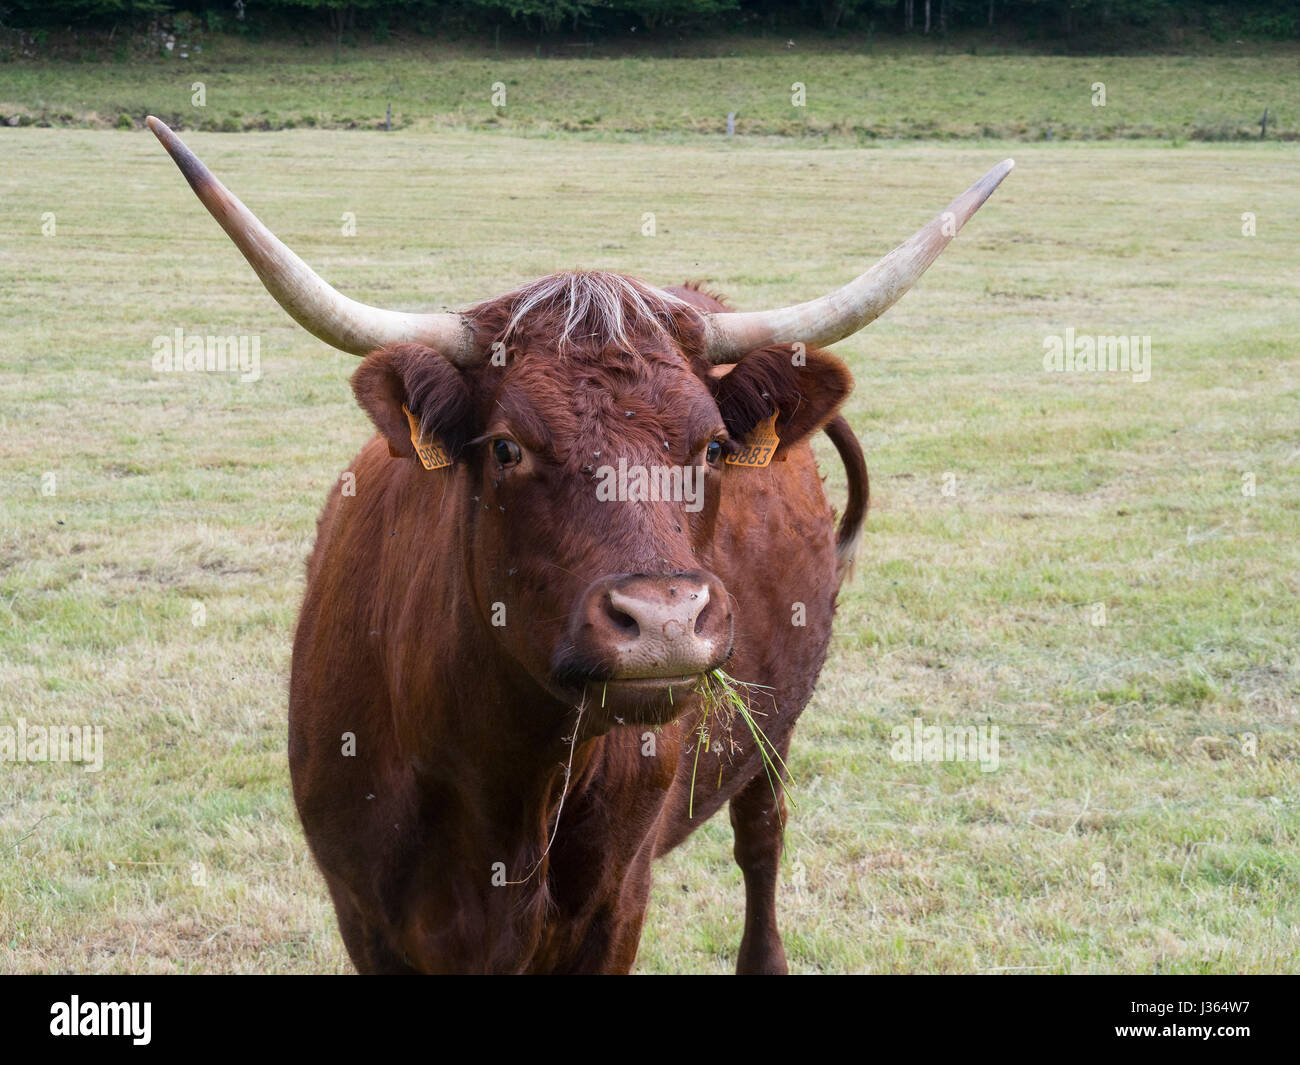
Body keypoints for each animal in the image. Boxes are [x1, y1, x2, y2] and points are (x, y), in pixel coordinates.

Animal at [146, 117, 1011, 974]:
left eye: (711, 447)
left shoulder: (613, 907)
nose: (665, 621)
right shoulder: (365, 913)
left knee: (761, 842)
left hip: (773, 731)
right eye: (505, 446)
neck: (497, 780)